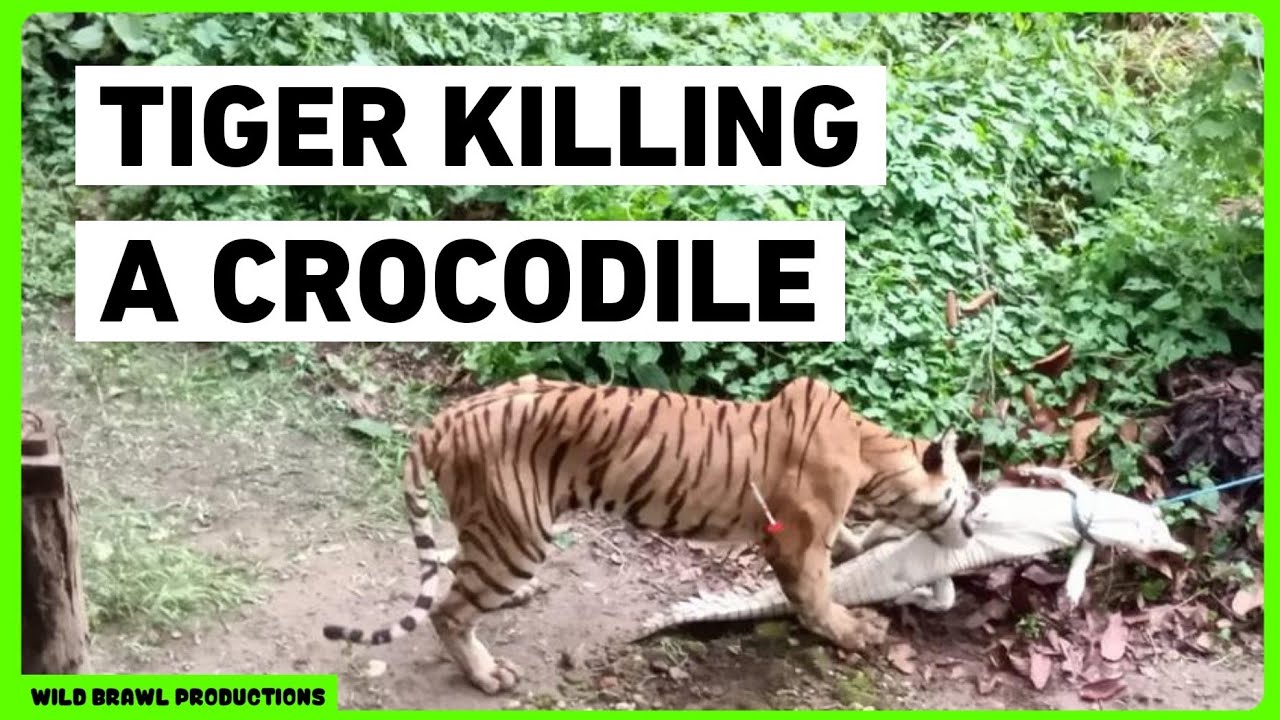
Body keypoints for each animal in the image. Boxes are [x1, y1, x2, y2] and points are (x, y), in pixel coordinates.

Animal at [322, 374, 979, 694]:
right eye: (969, 489)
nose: (977, 513)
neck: (874, 458)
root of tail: (446, 419)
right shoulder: (794, 540)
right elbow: (817, 598)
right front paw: (857, 633)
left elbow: (848, 545)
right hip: (519, 530)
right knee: (449, 610)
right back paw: (487, 675)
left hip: (497, 524)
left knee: (456, 569)